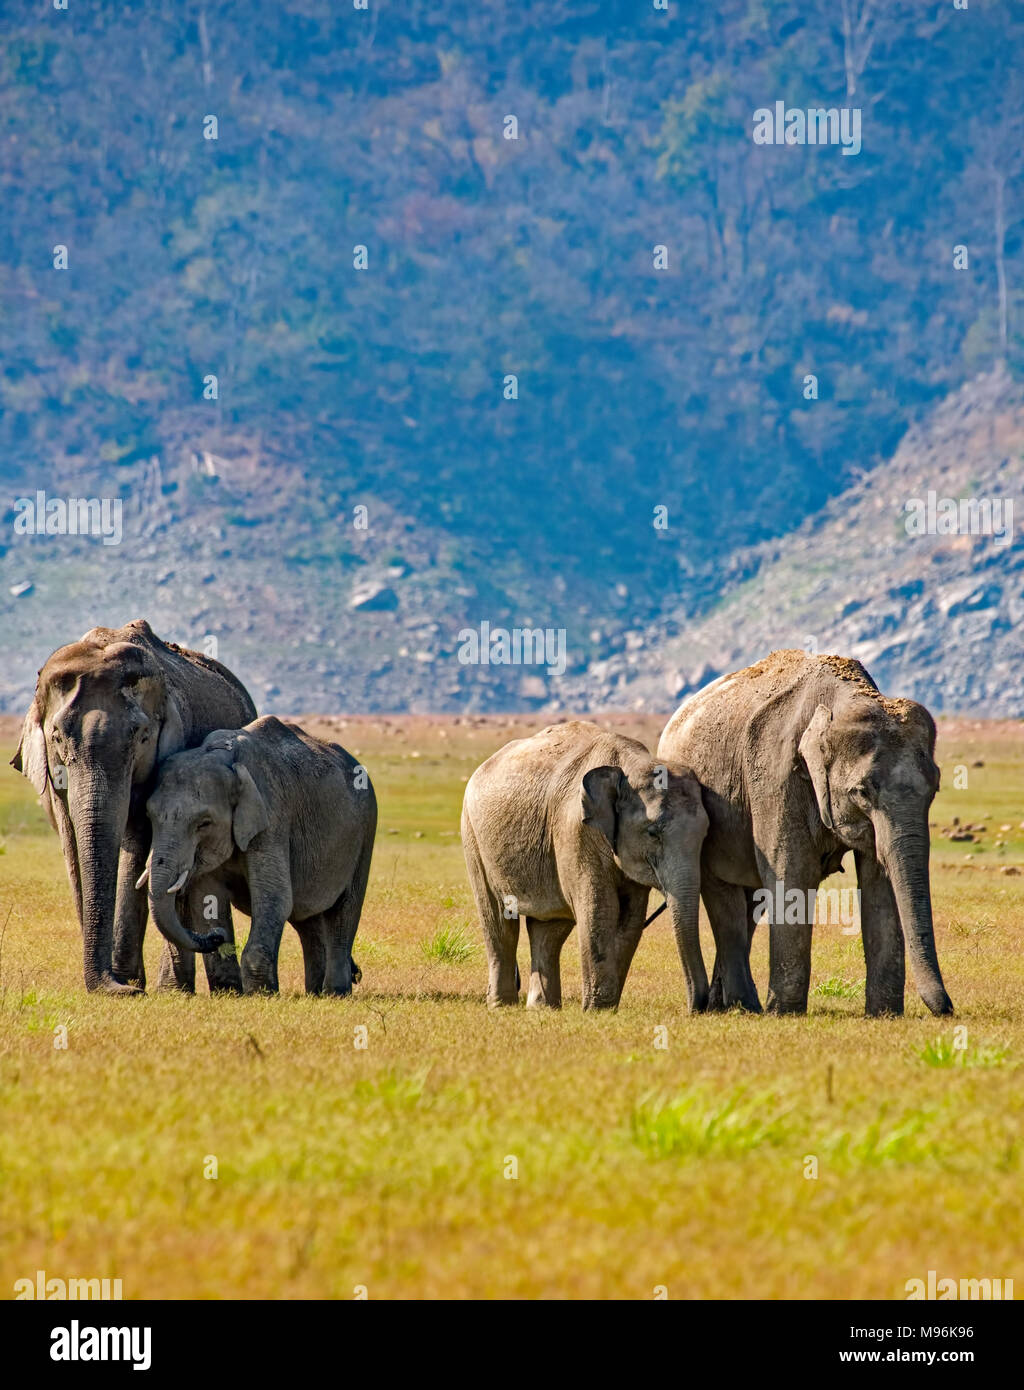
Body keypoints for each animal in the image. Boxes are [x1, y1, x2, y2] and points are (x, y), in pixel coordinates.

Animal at [11, 619, 257, 994]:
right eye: (56, 737)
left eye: (142, 736)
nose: (118, 988)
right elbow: (73, 843)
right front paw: (114, 982)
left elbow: (138, 842)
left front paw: (125, 983)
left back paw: (177, 987)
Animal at [139, 716, 376, 996]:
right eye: (149, 816)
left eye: (203, 823)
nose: (217, 935)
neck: (223, 757)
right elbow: (206, 898)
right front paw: (229, 992)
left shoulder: (272, 815)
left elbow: (275, 896)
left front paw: (261, 993)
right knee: (307, 918)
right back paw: (315, 992)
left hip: (365, 830)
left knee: (345, 910)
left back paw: (335, 992)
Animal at [461, 720, 709, 1011]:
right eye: (652, 833)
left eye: (706, 835)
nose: (695, 1008)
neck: (631, 765)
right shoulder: (576, 831)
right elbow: (599, 908)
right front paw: (596, 1010)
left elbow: (631, 917)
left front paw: (606, 1008)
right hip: (472, 834)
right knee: (498, 920)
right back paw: (502, 1005)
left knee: (549, 929)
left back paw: (542, 1008)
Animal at [657, 650, 953, 1018]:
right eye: (862, 792)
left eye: (935, 789)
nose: (947, 1009)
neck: (839, 701)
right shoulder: (774, 775)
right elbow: (793, 872)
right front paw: (785, 1012)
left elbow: (878, 880)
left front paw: (883, 1015)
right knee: (726, 902)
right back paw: (745, 1006)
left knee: (750, 903)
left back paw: (729, 1006)